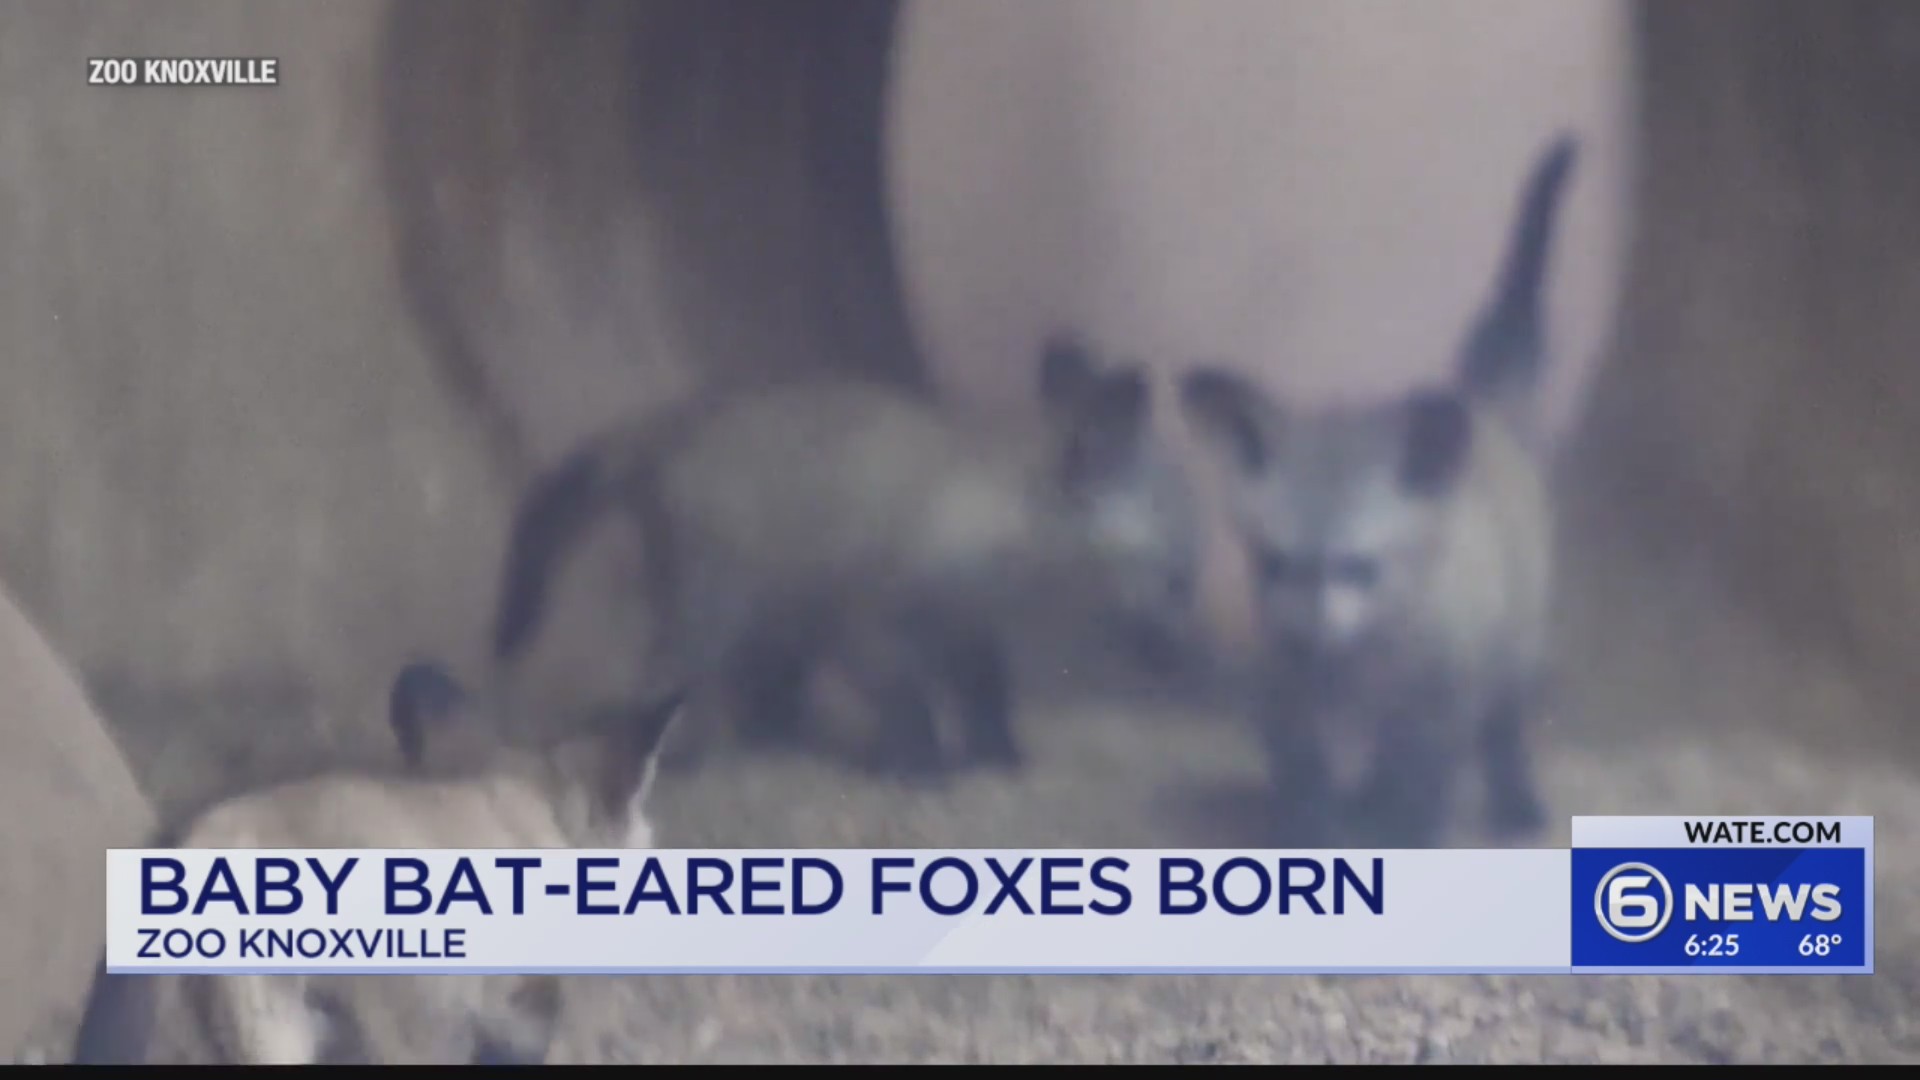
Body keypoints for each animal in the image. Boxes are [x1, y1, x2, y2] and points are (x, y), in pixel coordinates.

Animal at [489, 338, 1203, 781]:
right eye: (1178, 578)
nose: (1184, 657)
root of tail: (662, 425)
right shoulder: (864, 628)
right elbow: (909, 699)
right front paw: (923, 769)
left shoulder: (967, 630)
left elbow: (984, 694)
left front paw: (996, 759)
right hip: (715, 610)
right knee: (662, 688)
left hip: (766, 614)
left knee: (762, 689)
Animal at [1177, 132, 1579, 848]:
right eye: (1273, 561)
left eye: (1356, 566)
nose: (1306, 642)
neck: (1358, 670)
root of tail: (1481, 407)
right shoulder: (1284, 705)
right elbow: (1304, 789)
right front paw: (1309, 836)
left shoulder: (1440, 717)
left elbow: (1421, 795)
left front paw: (1405, 835)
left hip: (1517, 646)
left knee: (1501, 728)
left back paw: (1513, 796)